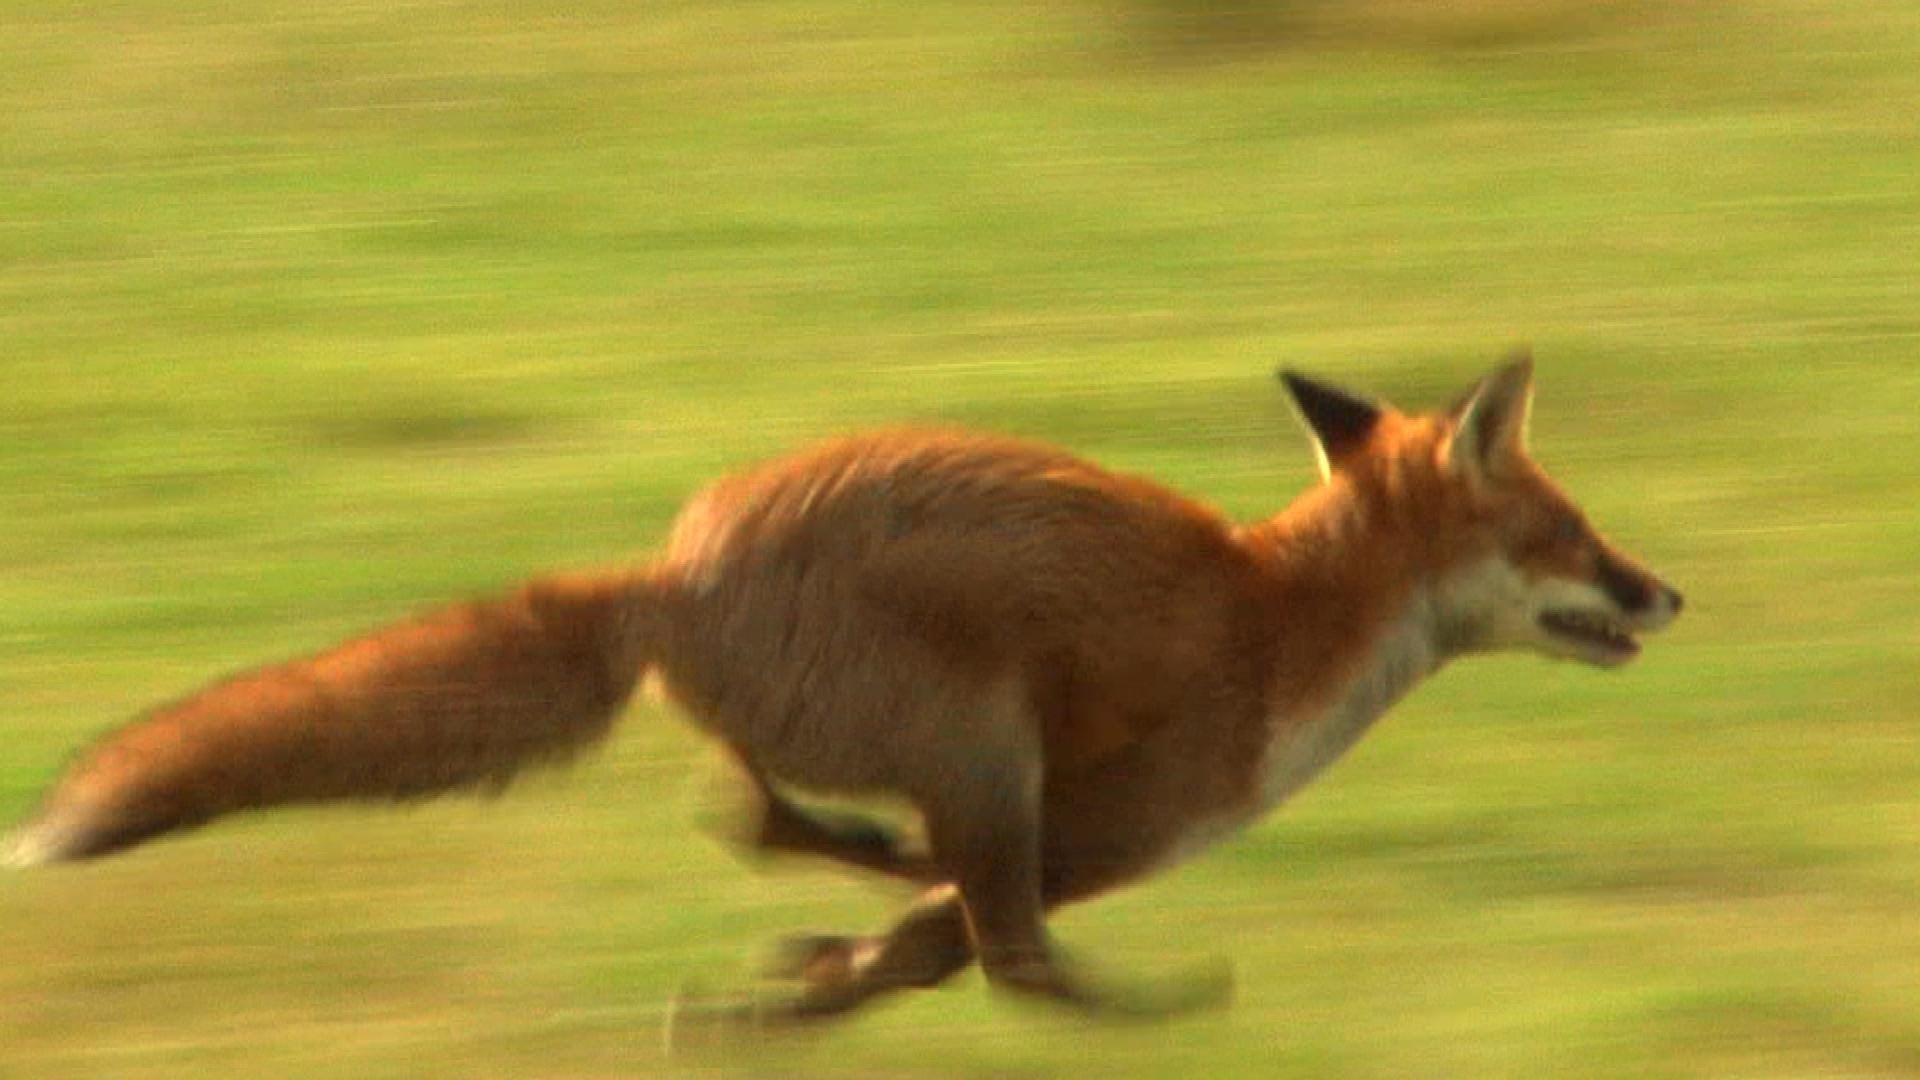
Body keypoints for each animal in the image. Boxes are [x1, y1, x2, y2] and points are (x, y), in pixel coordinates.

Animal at [4, 352, 1680, 1025]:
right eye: (1573, 536)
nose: (1672, 594)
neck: (1278, 622)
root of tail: (670, 570)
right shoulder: (1107, 823)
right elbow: (958, 950)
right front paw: (784, 1011)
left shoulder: (1065, 834)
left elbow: (912, 941)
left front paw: (792, 989)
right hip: (984, 741)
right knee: (987, 938)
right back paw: (1136, 1007)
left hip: (938, 758)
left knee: (756, 815)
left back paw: (831, 899)